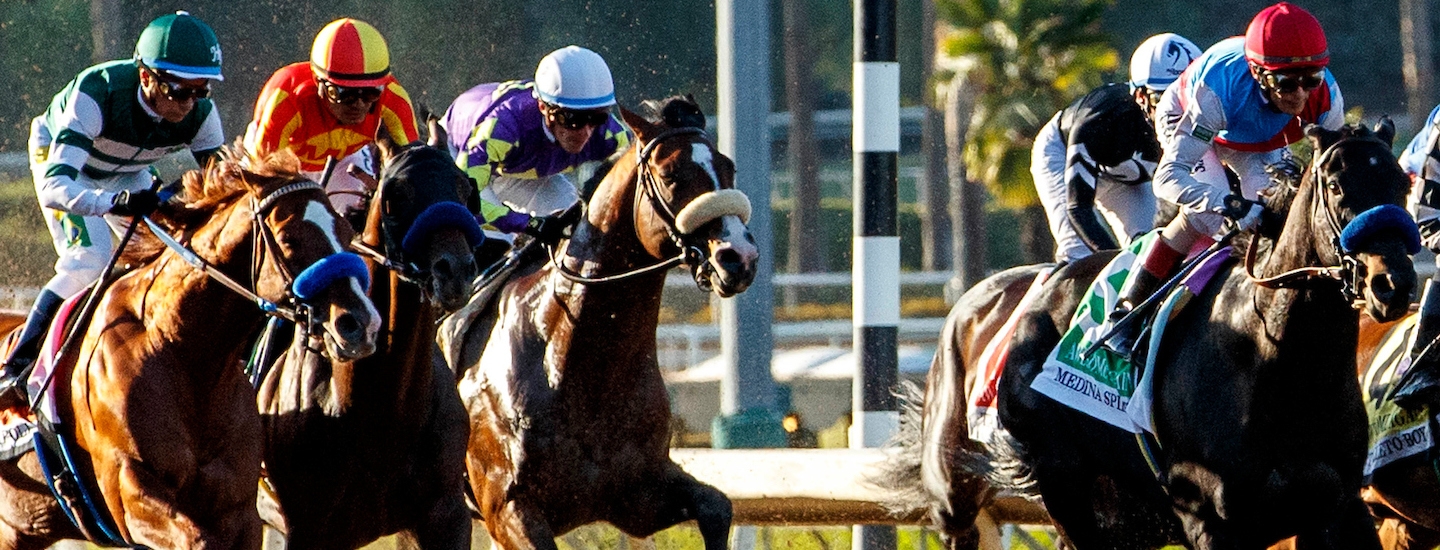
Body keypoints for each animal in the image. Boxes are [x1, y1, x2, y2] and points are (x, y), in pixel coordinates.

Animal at [0, 147, 380, 550]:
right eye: (289, 238)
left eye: (346, 232)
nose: (360, 323)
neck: (184, 354)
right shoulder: (130, 491)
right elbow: (196, 539)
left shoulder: (239, 509)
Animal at [439, 95, 758, 549]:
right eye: (670, 174)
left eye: (728, 167)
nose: (739, 257)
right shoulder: (506, 507)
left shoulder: (636, 495)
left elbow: (717, 506)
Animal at [990, 121, 1415, 549]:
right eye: (1335, 186)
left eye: (1402, 184)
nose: (1392, 284)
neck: (1276, 364)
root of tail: (1046, 289)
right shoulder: (1208, 520)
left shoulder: (1338, 508)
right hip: (1065, 484)